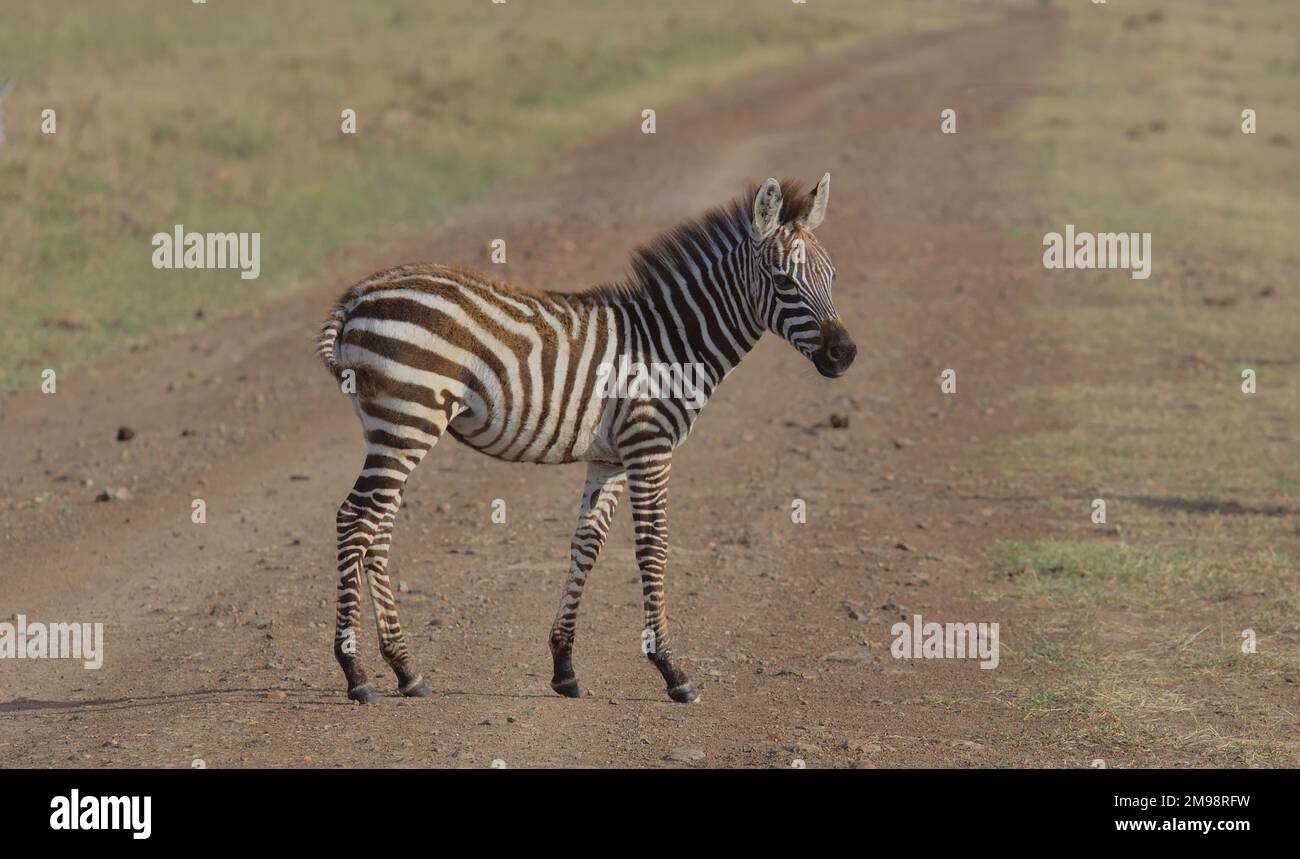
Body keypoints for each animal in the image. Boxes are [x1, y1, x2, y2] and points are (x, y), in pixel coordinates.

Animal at [317, 174, 856, 704]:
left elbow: (587, 544)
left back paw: (406, 669)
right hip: (408, 420)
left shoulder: (611, 459)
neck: (671, 345)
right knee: (353, 520)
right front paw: (671, 670)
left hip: (392, 428)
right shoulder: (649, 448)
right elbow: (653, 547)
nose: (844, 354)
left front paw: (564, 667)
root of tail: (357, 296)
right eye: (784, 281)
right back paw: (356, 673)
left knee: (377, 529)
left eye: (831, 277)